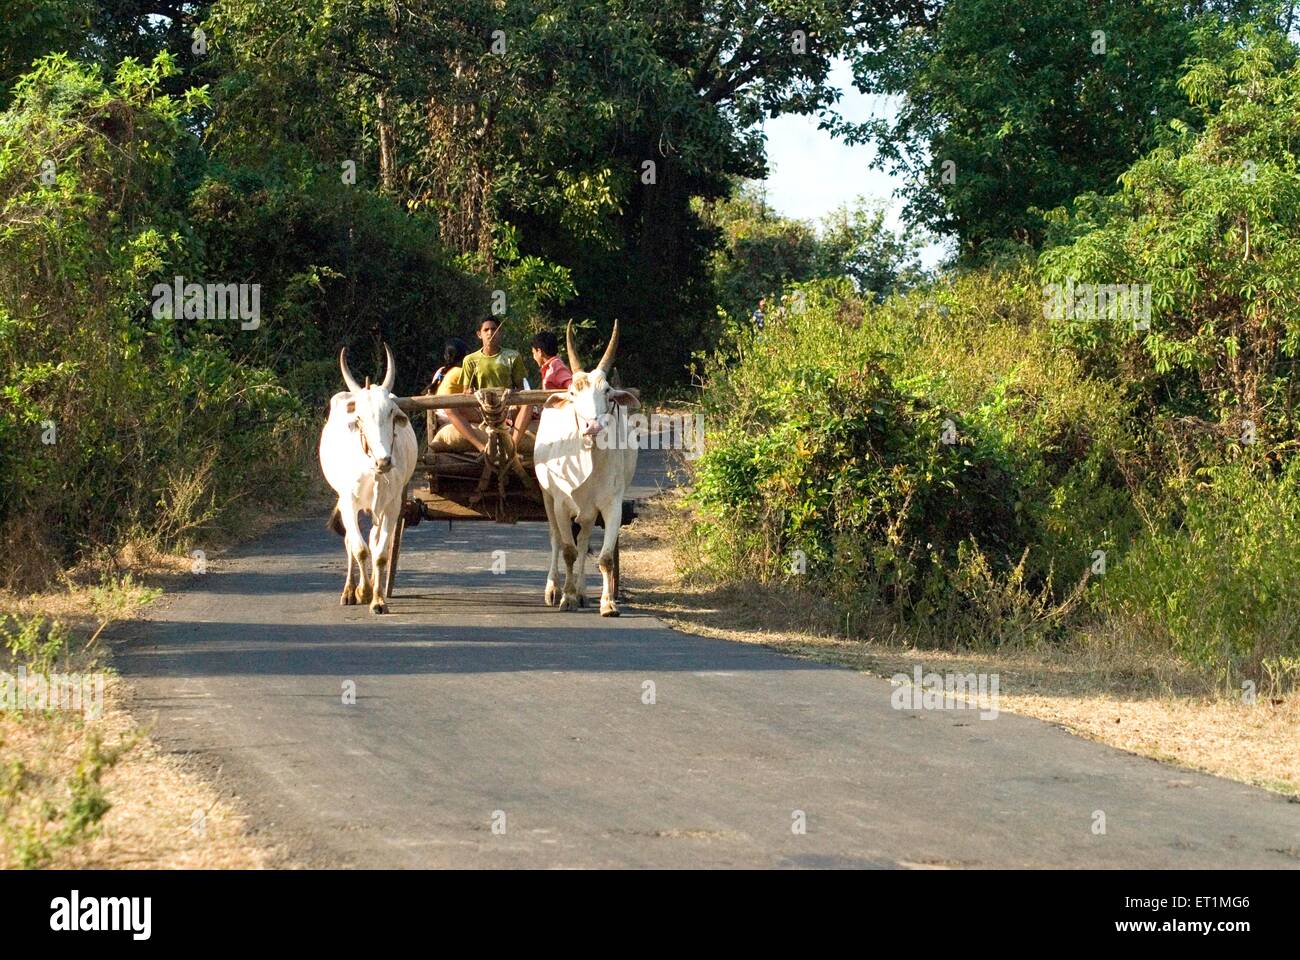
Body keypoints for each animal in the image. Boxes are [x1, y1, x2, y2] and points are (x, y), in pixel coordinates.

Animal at [319, 343, 417, 614]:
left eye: (391, 413)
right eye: (360, 417)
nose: (384, 461)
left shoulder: (393, 506)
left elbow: (381, 552)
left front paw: (378, 599)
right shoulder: (348, 502)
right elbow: (359, 549)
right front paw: (362, 592)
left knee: (374, 540)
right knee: (350, 542)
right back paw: (349, 591)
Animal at [534, 320, 639, 616]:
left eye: (607, 391)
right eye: (573, 392)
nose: (592, 425)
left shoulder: (612, 505)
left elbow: (604, 558)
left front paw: (608, 603)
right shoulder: (560, 503)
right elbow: (567, 550)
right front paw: (566, 598)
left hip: (590, 512)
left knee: (583, 541)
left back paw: (580, 591)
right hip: (547, 498)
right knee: (557, 540)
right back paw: (554, 589)